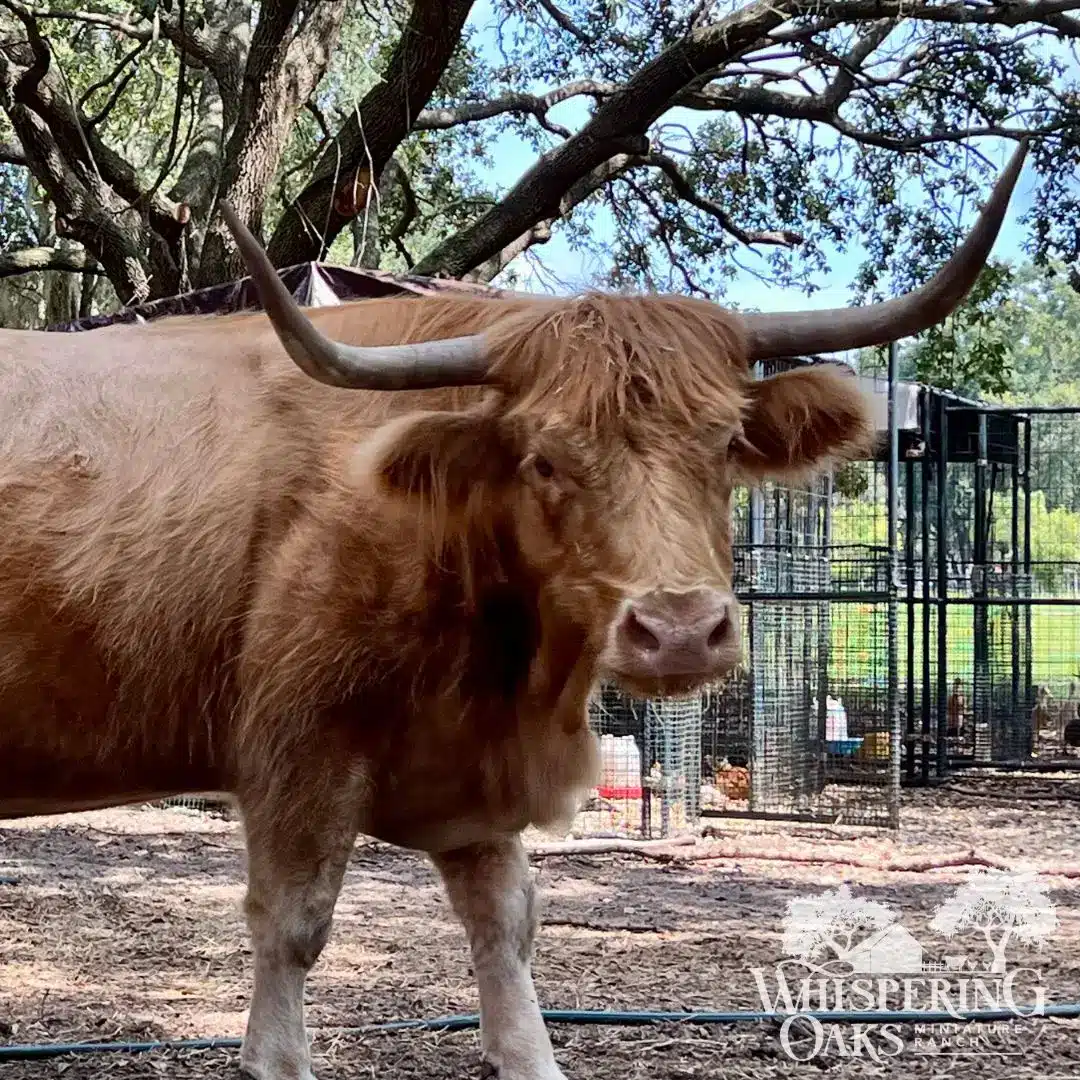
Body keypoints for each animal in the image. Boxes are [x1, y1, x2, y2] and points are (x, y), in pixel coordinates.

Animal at [0, 141, 1026, 1080]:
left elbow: (507, 923)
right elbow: (293, 926)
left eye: (728, 444)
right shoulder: (299, 752)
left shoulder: (474, 776)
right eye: (543, 459)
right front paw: (275, 1058)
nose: (681, 629)